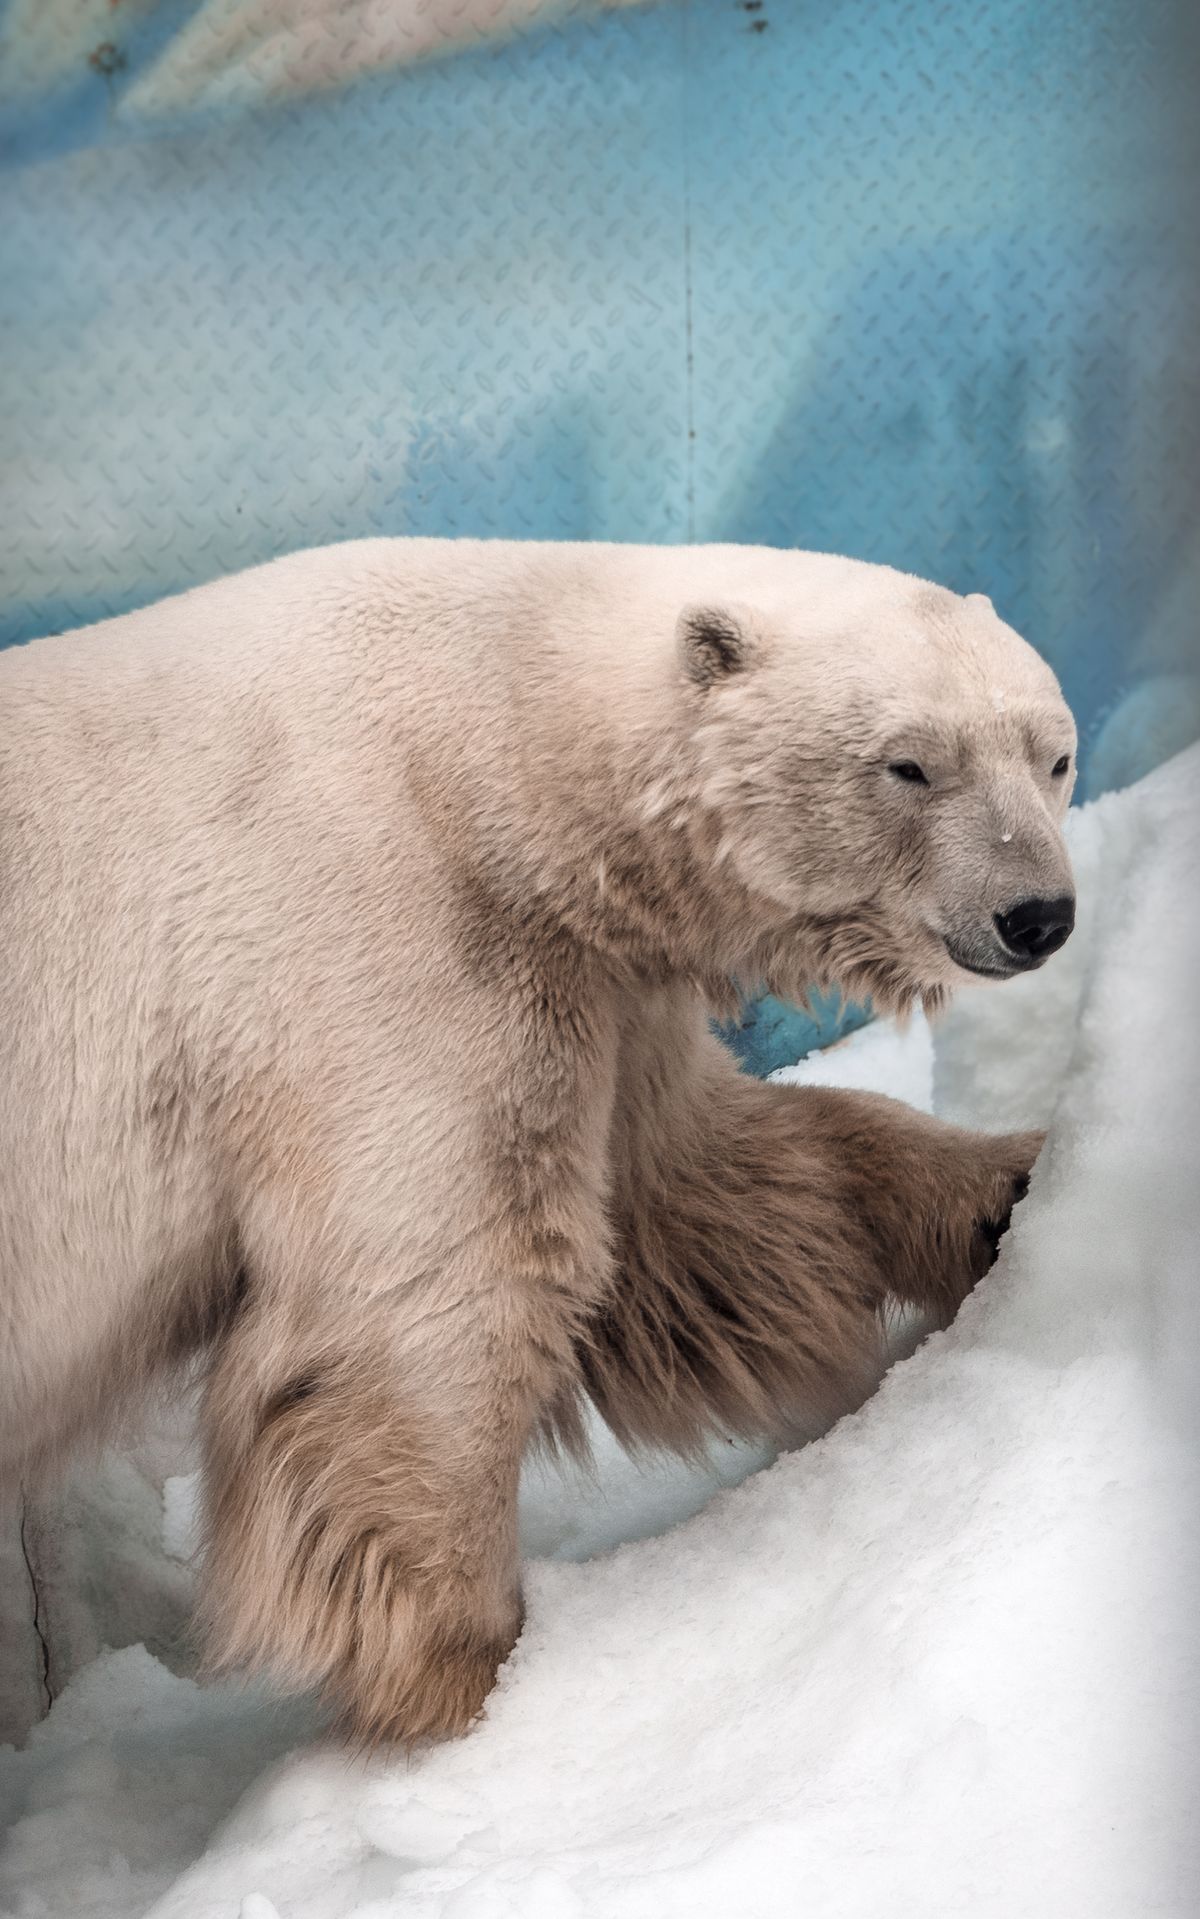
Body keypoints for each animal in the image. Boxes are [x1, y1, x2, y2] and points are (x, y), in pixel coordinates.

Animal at [0, 538, 1077, 1745]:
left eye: (1053, 757)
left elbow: (714, 1198)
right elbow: (436, 1301)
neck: (490, 736)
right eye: (909, 764)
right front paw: (471, 1677)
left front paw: (1012, 1180)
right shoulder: (389, 943)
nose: (1039, 914)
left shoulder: (593, 973)